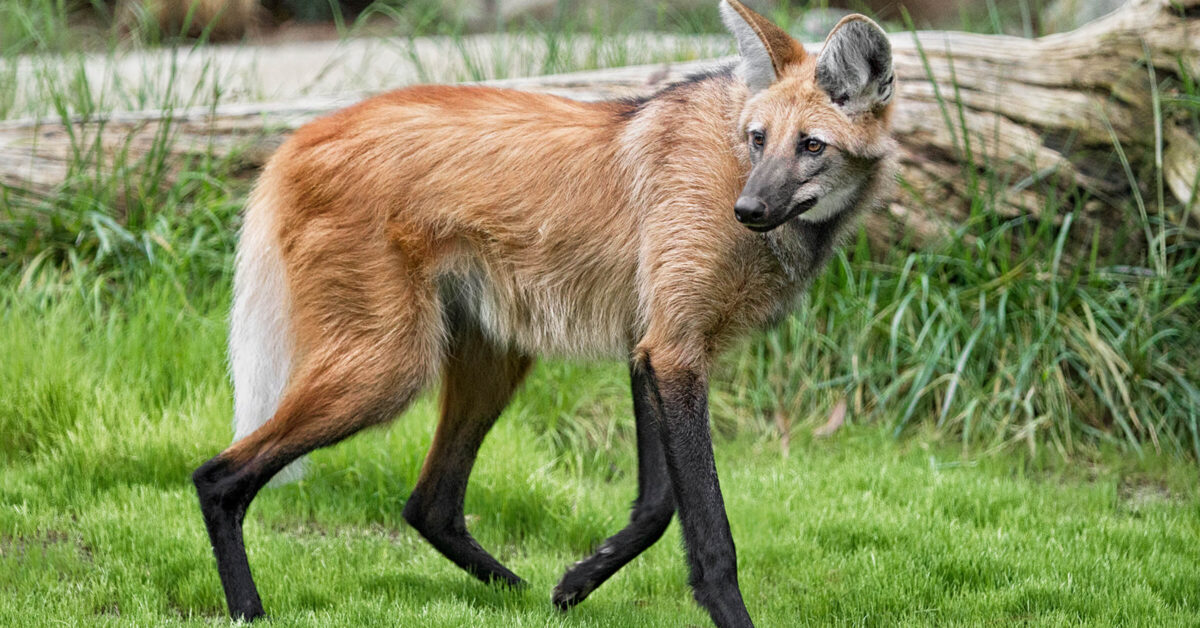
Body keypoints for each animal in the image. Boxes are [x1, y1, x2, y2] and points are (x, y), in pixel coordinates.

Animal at [192, 2, 897, 626]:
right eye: (758, 139)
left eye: (811, 146)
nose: (747, 210)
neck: (732, 168)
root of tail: (297, 138)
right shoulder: (673, 352)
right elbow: (708, 531)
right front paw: (727, 614)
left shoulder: (652, 348)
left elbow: (656, 507)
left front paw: (576, 582)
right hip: (387, 369)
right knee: (217, 477)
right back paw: (249, 611)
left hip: (493, 357)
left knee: (429, 504)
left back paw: (519, 593)